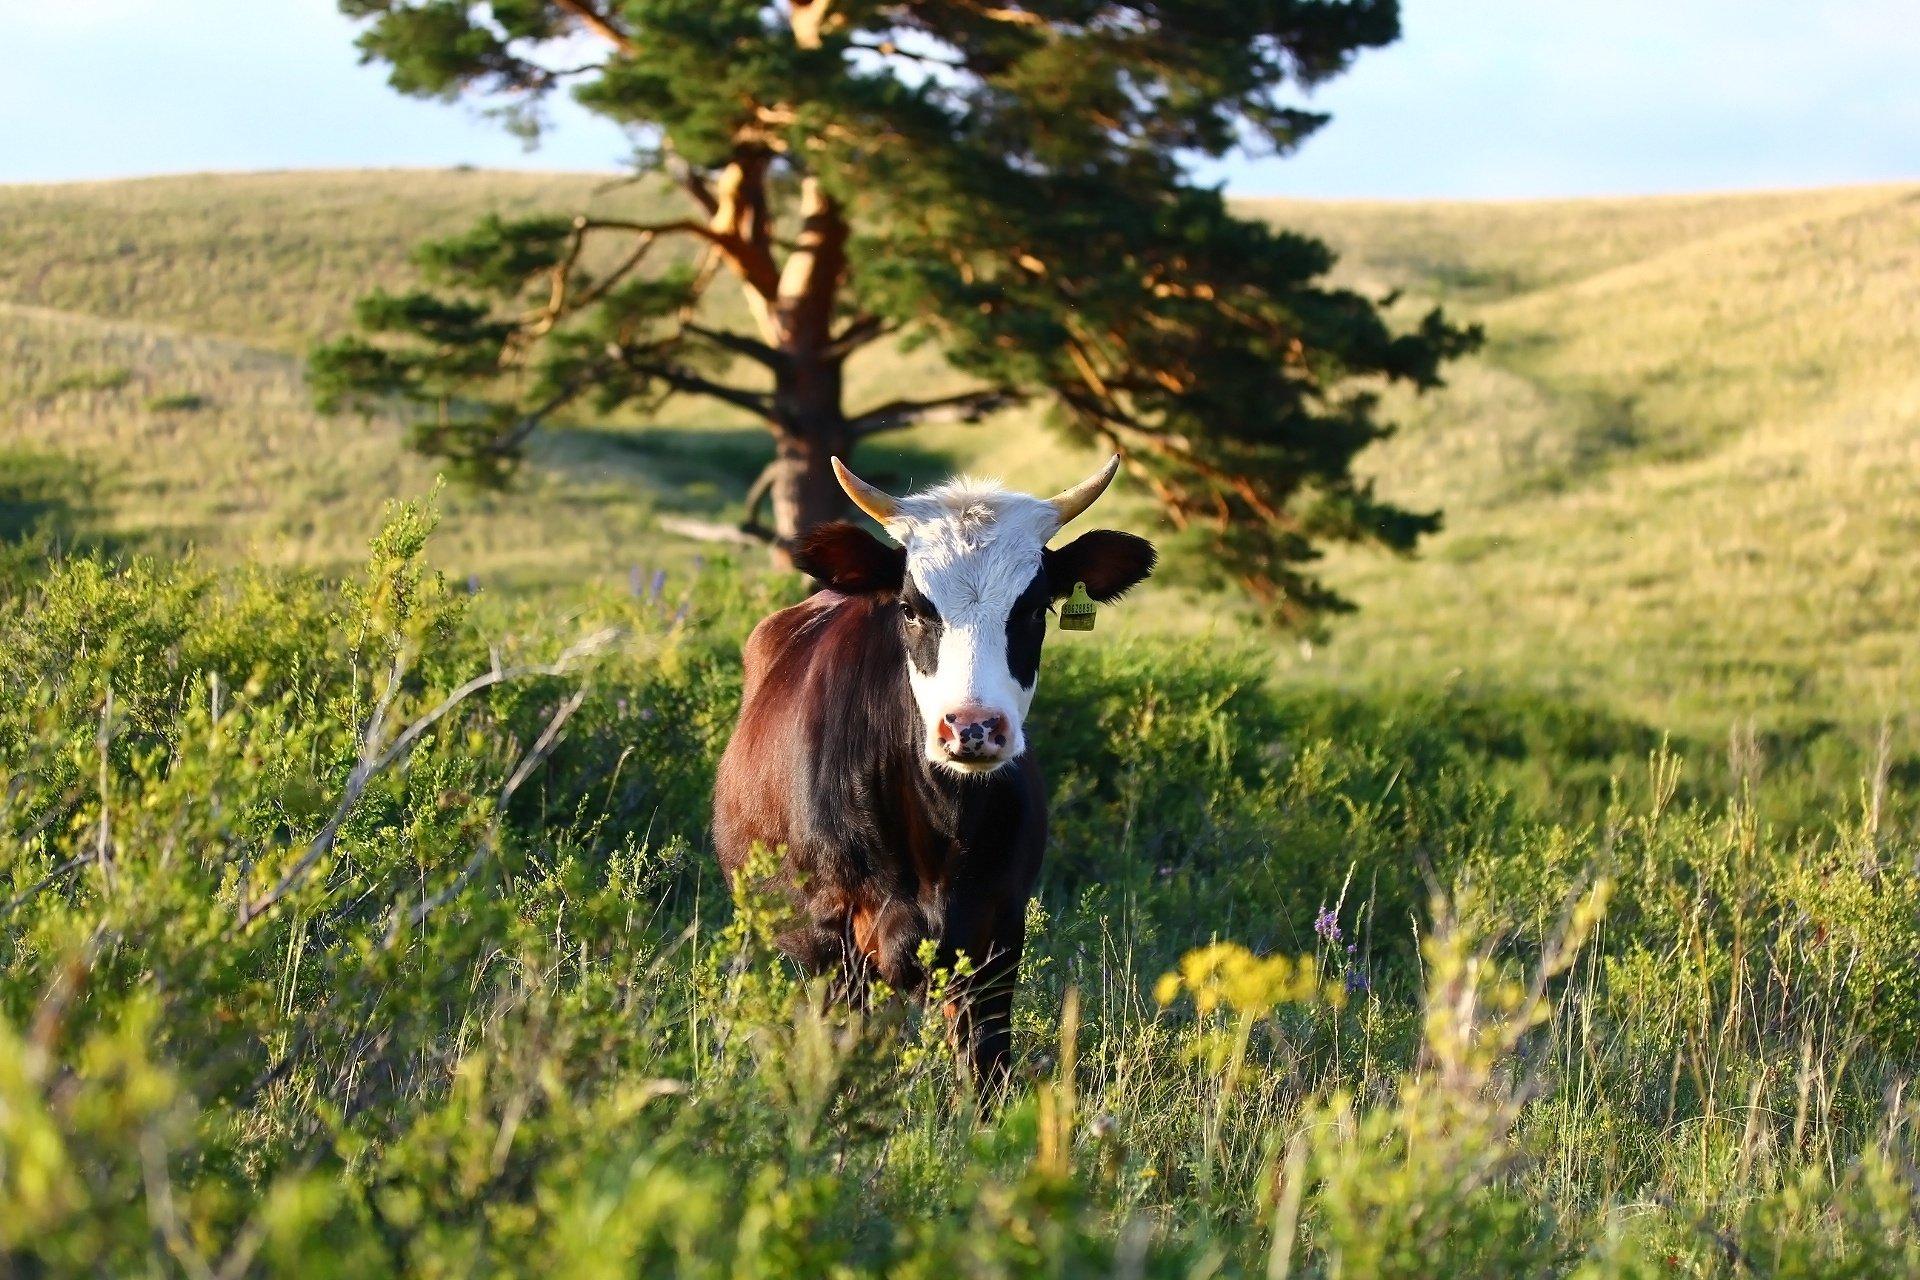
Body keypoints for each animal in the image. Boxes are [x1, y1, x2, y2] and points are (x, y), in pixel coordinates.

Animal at [712, 455, 1156, 1095]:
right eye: (912, 608)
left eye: (1034, 609)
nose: (972, 727)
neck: (940, 822)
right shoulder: (834, 941)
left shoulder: (998, 932)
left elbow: (985, 1070)